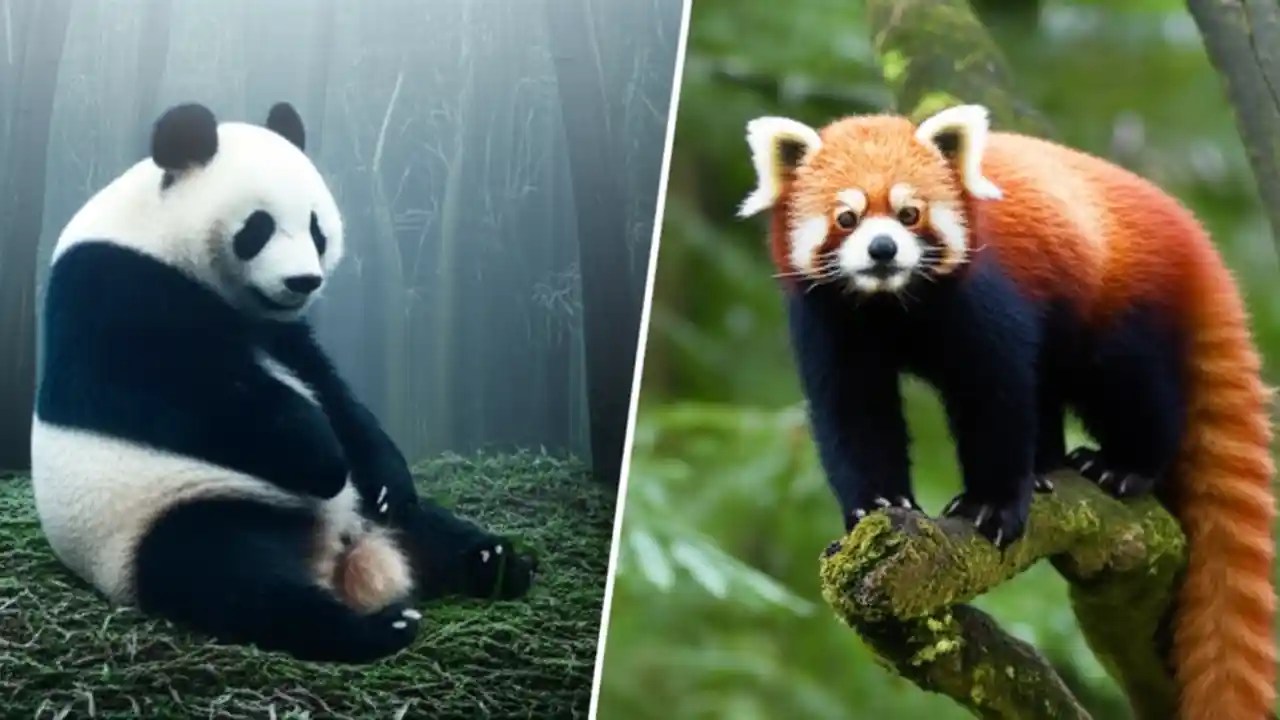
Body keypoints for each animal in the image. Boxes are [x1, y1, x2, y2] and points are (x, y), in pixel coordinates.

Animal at [30, 101, 537, 664]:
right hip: (163, 518)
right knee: (233, 577)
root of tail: (332, 556)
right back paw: (376, 628)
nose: (303, 281)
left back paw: (496, 563)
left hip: (365, 517)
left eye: (317, 229)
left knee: (422, 525)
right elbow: (180, 391)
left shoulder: (282, 331)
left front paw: (388, 474)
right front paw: (324, 454)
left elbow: (333, 391)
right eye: (259, 227)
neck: (153, 236)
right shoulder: (110, 287)